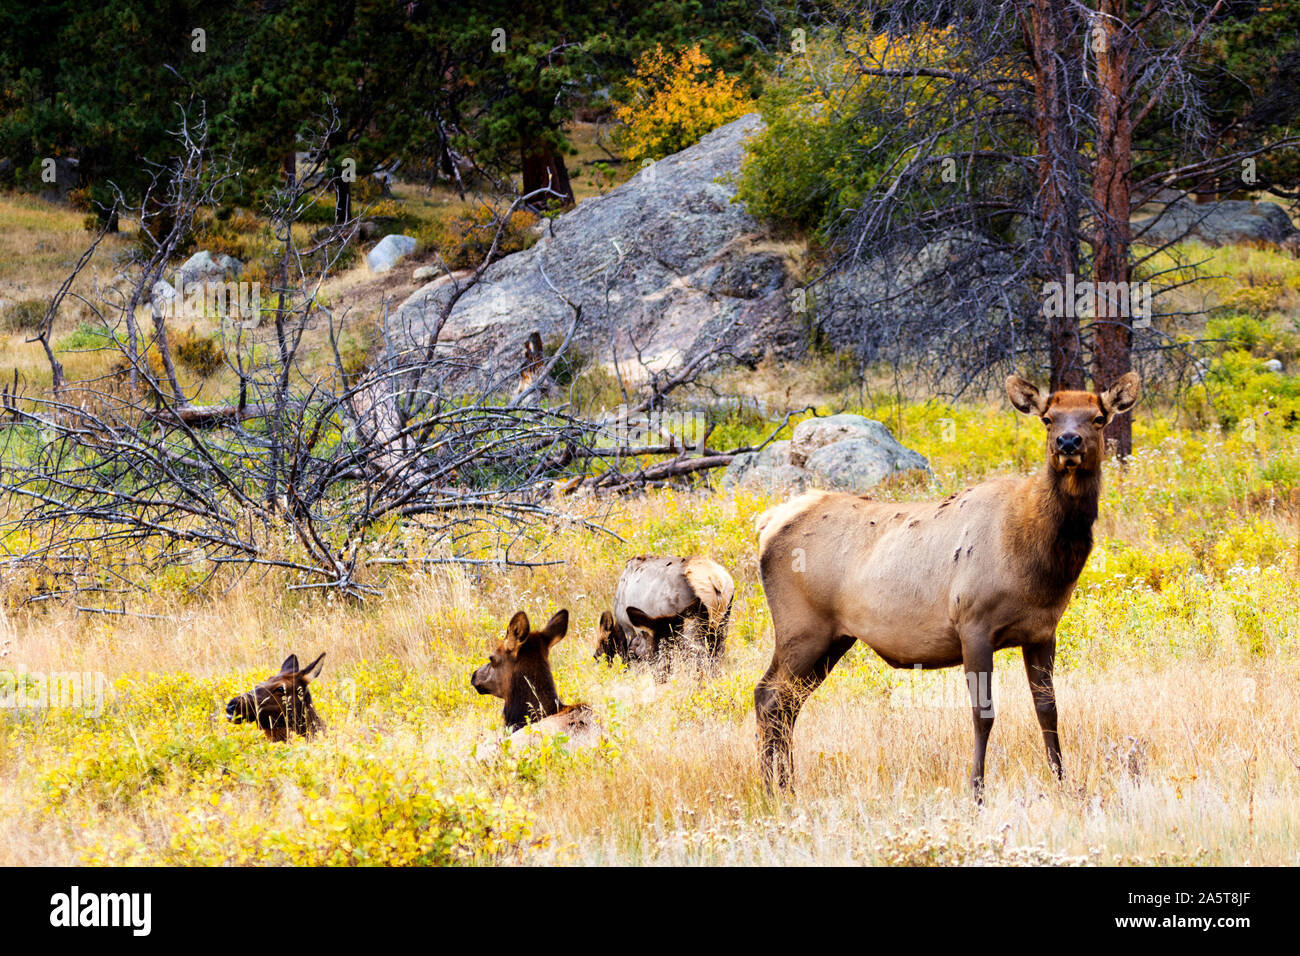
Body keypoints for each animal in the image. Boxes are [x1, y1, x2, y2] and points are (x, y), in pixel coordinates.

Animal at [593, 556, 735, 674]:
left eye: (602, 641)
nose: (595, 657)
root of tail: (716, 581)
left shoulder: (631, 630)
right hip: (721, 625)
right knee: (717, 655)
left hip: (691, 624)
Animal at [753, 372, 1141, 799]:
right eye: (1048, 419)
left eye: (1098, 418)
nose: (1068, 443)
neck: (1037, 561)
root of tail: (768, 524)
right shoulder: (973, 624)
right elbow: (983, 714)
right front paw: (977, 791)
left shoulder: (1042, 632)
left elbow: (1048, 710)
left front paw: (1064, 783)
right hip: (802, 628)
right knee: (769, 696)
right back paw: (773, 789)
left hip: (834, 638)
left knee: (787, 702)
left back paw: (784, 786)